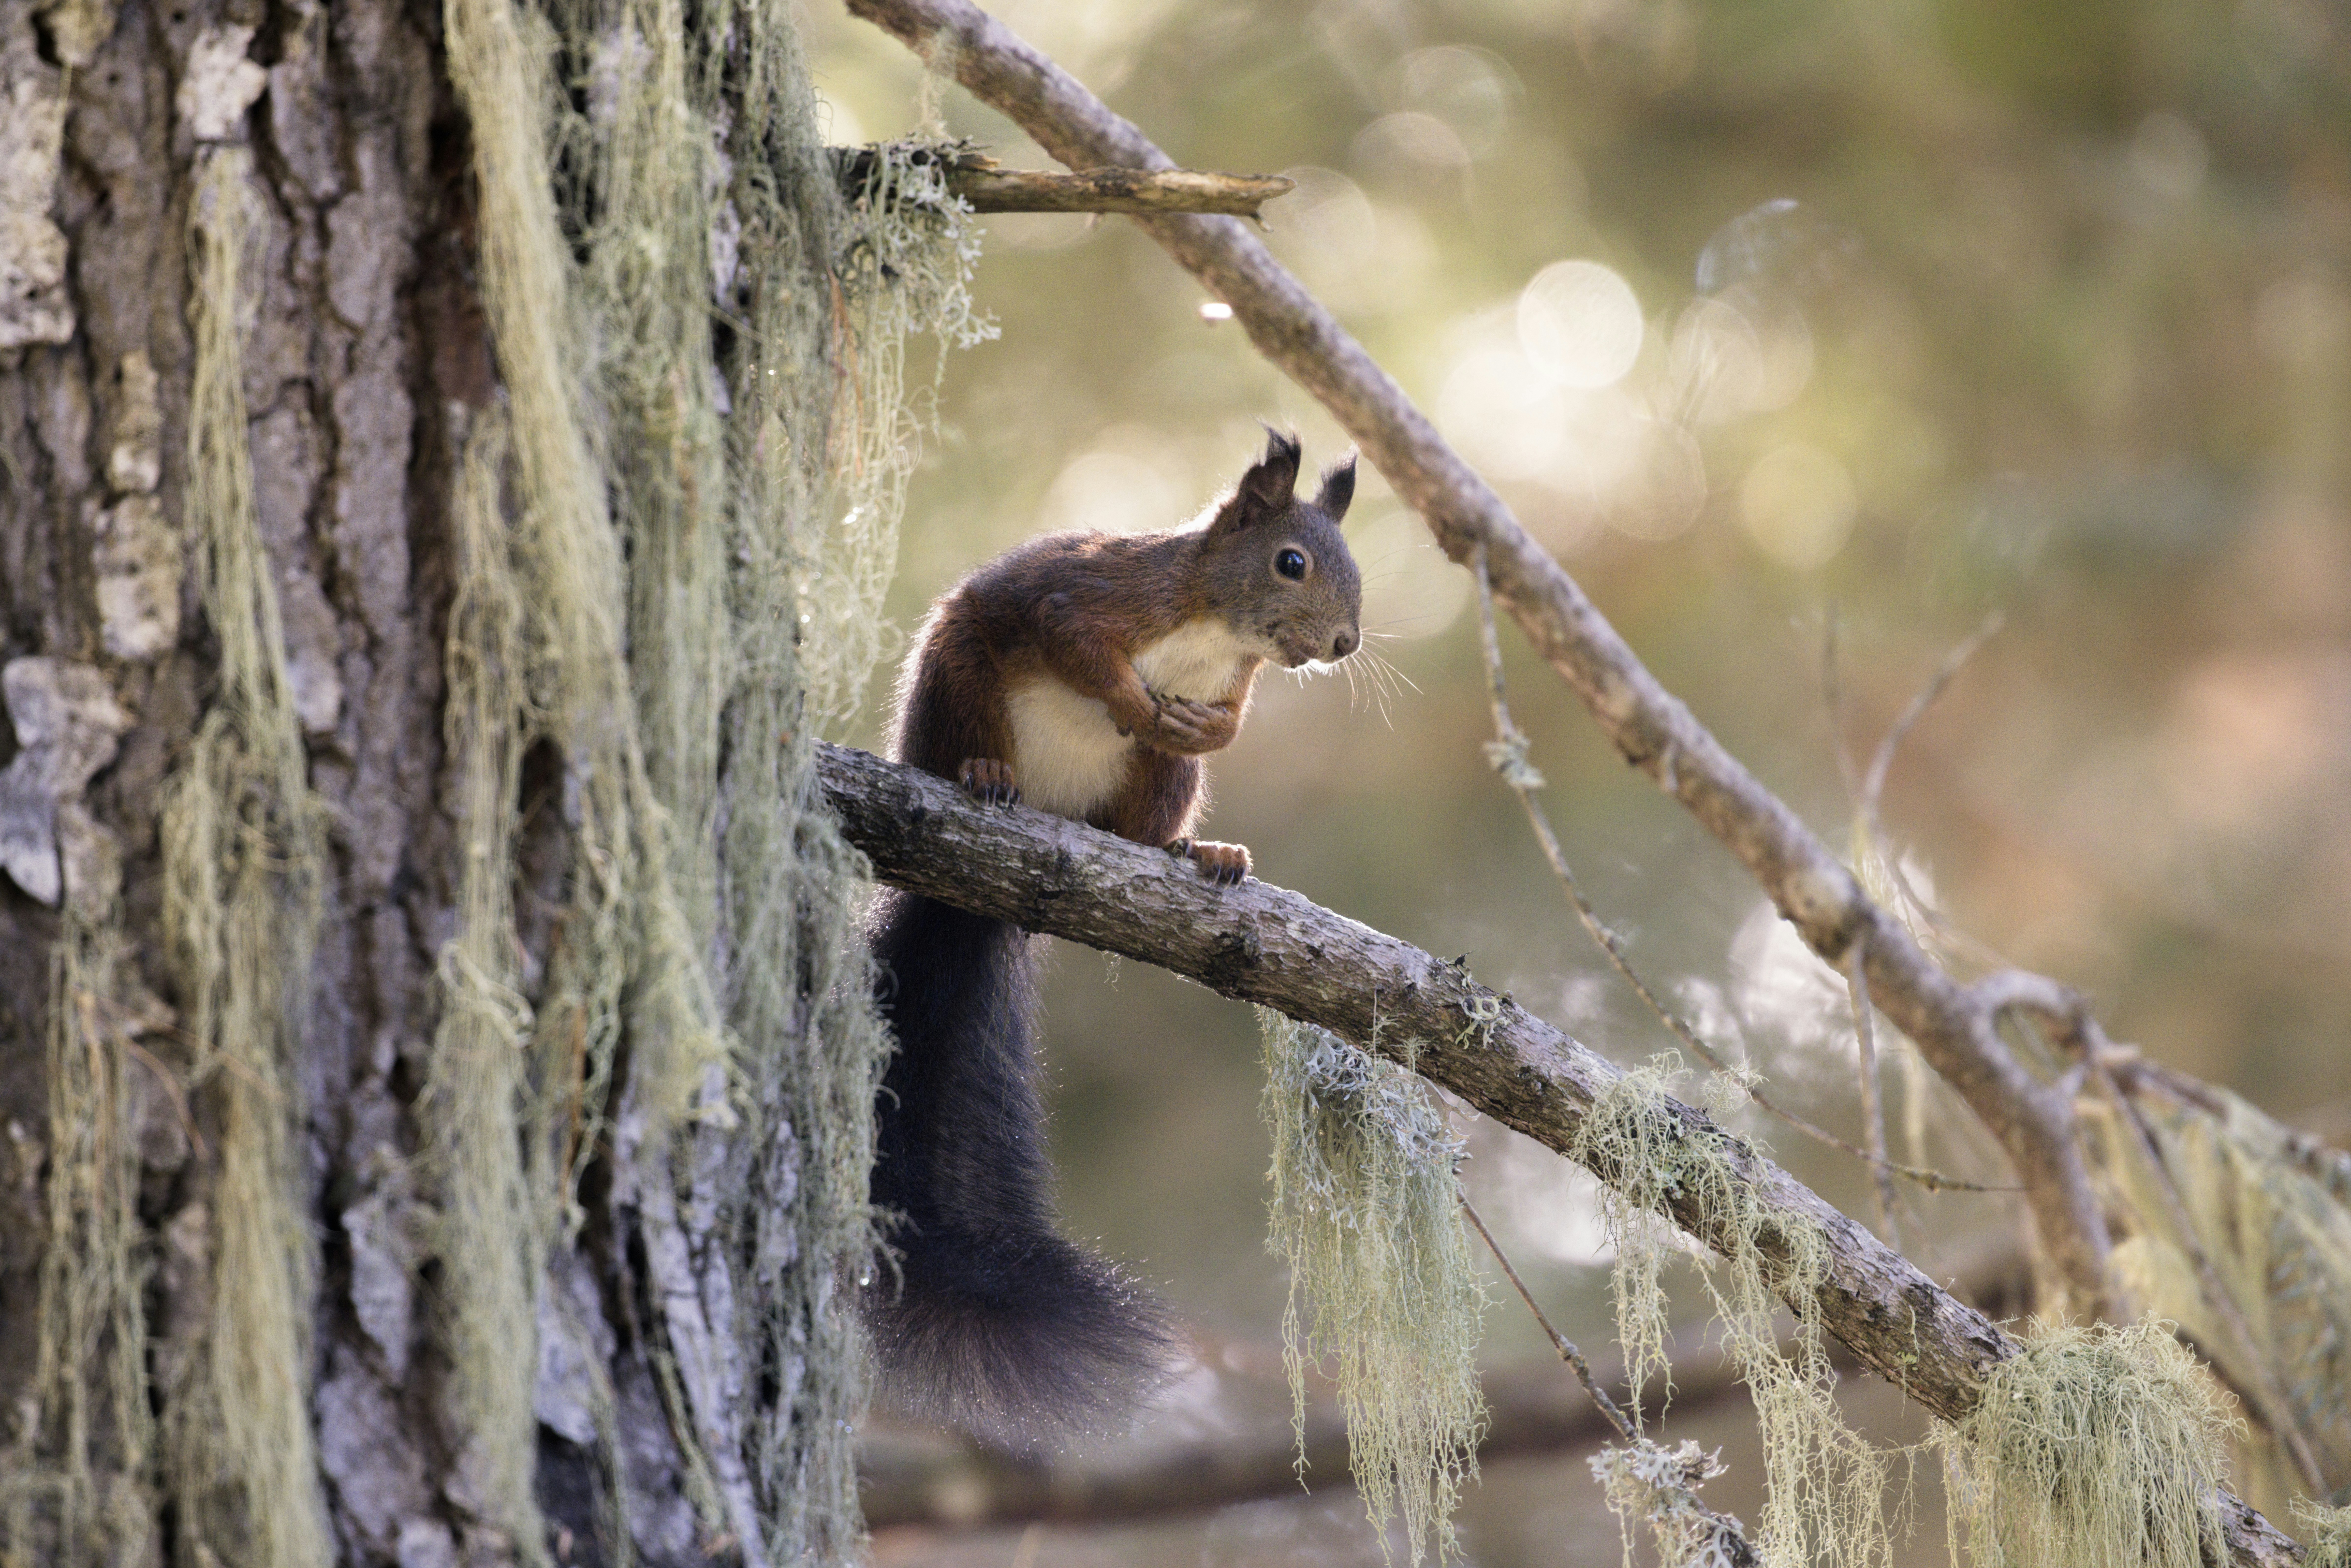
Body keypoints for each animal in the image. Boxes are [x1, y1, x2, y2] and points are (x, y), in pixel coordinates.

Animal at [862, 430, 1362, 1446]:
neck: (1215, 631)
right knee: (975, 734)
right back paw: (983, 774)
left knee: (1144, 821)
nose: (1344, 643)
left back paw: (1195, 850)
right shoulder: (1091, 595)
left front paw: (1205, 725)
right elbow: (1079, 646)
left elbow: (1227, 727)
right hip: (959, 675)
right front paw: (1132, 699)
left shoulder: (1235, 686)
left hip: (1156, 785)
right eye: (1291, 562)